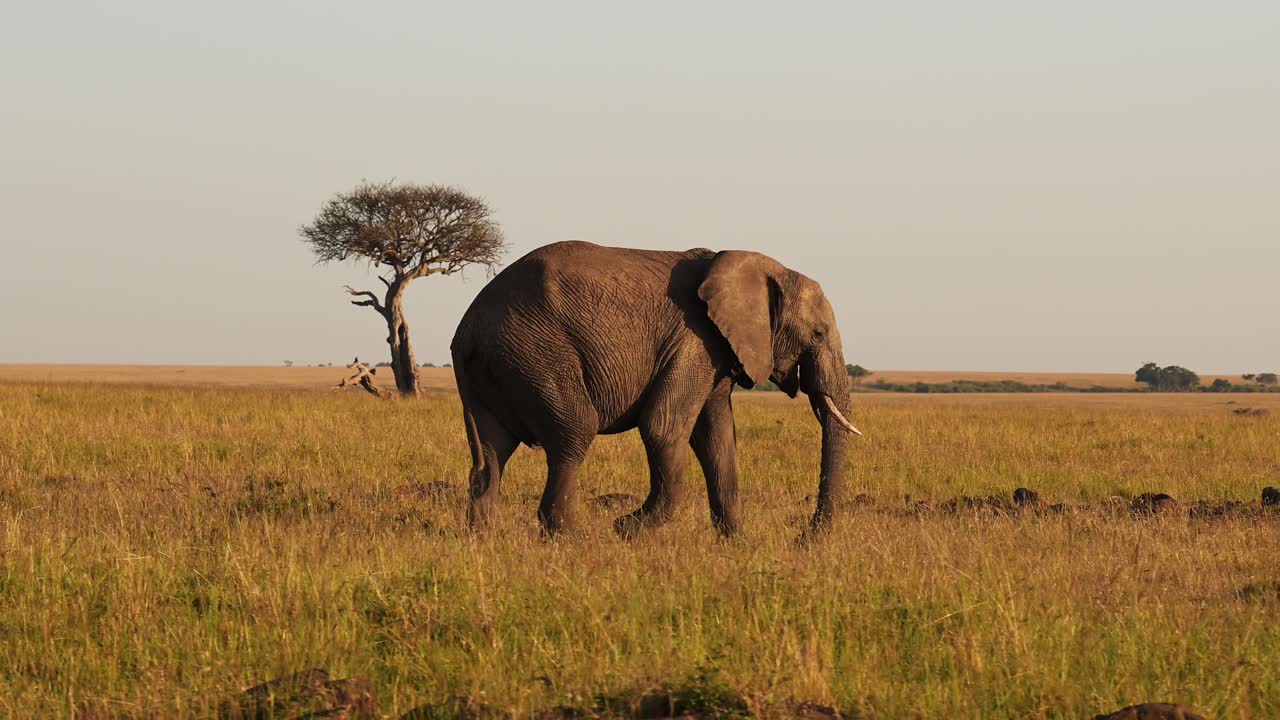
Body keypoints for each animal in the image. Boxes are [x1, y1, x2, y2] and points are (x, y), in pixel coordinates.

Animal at [450, 241, 861, 538]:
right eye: (818, 334)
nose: (804, 539)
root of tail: (467, 328)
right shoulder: (694, 341)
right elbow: (663, 426)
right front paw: (627, 530)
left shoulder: (716, 351)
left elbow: (718, 437)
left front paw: (736, 546)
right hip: (536, 352)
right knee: (574, 433)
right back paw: (574, 543)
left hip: (499, 366)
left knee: (492, 455)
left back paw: (482, 542)